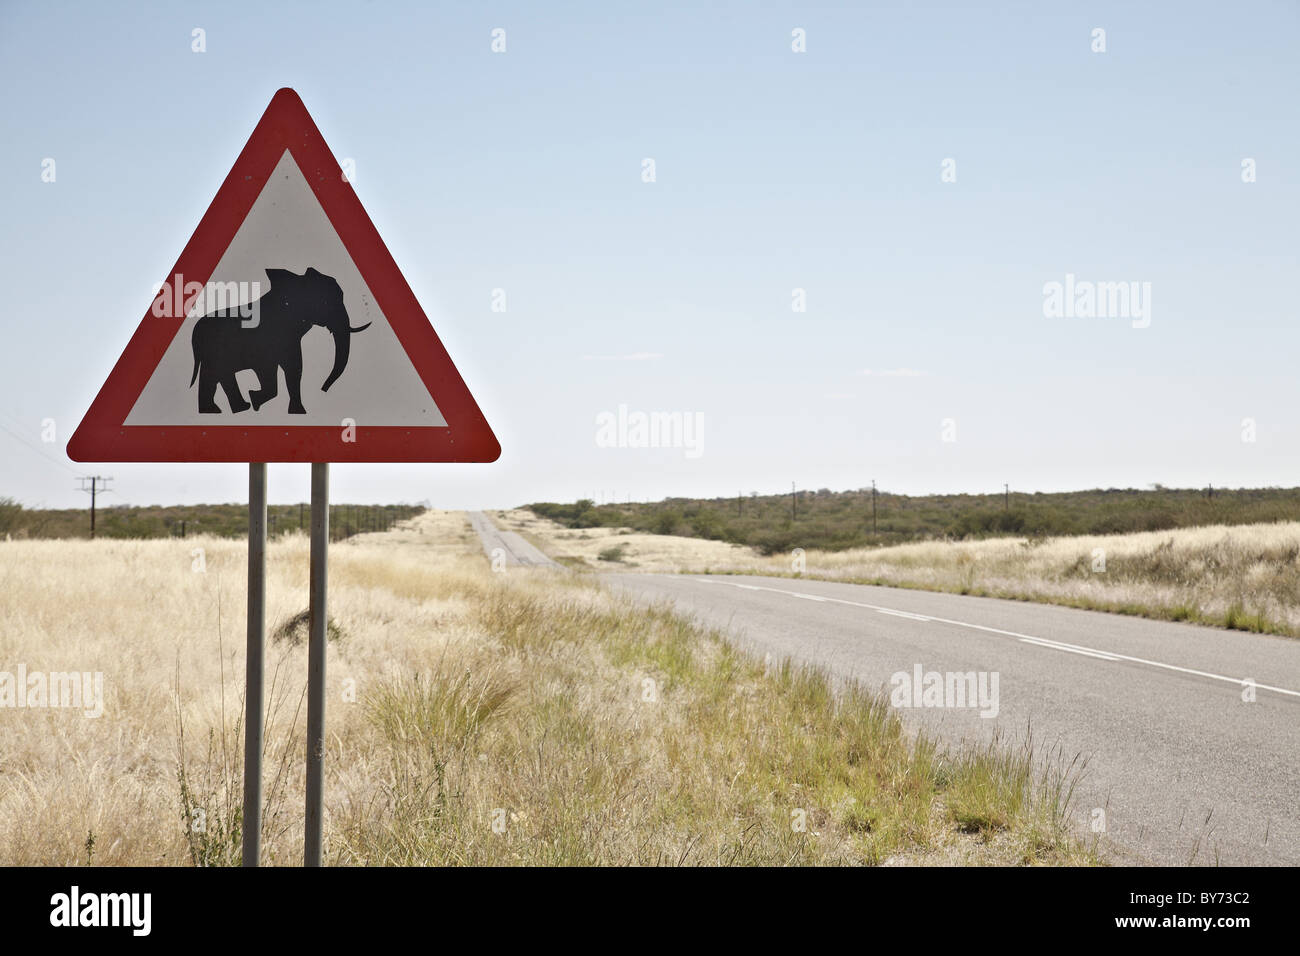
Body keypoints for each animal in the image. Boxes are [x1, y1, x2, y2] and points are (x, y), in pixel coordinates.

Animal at [188, 267, 370, 414]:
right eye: (325, 301)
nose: (323, 389)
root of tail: (194, 333)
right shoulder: (267, 342)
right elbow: (272, 372)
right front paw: (255, 399)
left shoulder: (289, 340)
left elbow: (294, 369)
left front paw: (298, 413)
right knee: (217, 374)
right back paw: (232, 409)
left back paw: (223, 410)